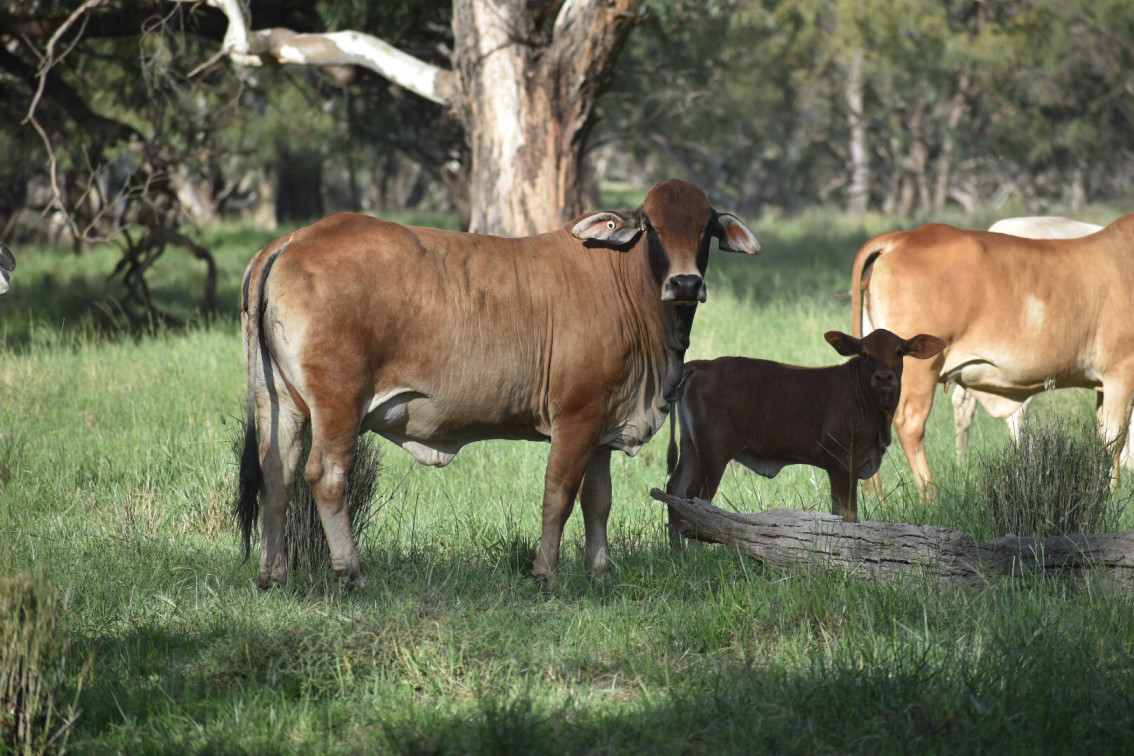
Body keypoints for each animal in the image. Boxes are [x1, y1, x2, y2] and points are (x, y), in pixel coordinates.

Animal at [238, 179, 760, 588]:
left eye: (705, 228)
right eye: (651, 226)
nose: (685, 284)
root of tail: (291, 241)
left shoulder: (601, 427)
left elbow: (598, 502)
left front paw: (601, 573)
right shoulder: (577, 417)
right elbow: (558, 496)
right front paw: (545, 573)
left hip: (279, 402)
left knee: (277, 474)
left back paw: (272, 575)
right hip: (338, 404)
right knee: (325, 475)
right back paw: (350, 572)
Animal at [664, 329, 945, 541]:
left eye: (898, 352)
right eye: (865, 354)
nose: (884, 377)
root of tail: (703, 365)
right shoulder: (841, 462)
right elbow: (846, 514)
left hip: (691, 447)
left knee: (674, 490)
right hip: (714, 453)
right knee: (695, 498)